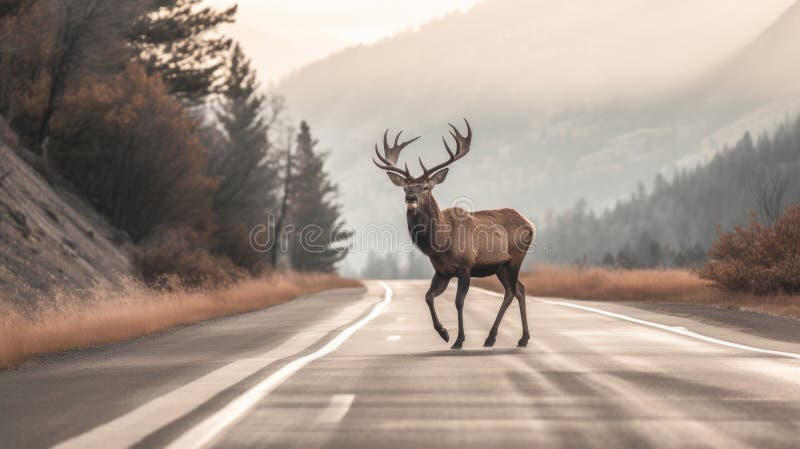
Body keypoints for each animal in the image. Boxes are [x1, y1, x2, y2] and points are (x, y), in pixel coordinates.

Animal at [372, 119, 536, 349]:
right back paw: (518, 338)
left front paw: (458, 339)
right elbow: (428, 296)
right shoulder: (442, 271)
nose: (410, 198)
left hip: (514, 259)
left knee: (512, 291)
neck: (441, 242)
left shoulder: (465, 265)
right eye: (405, 187)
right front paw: (444, 333)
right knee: (519, 289)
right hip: (501, 266)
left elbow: (459, 302)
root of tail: (531, 224)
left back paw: (496, 337)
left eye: (425, 186)